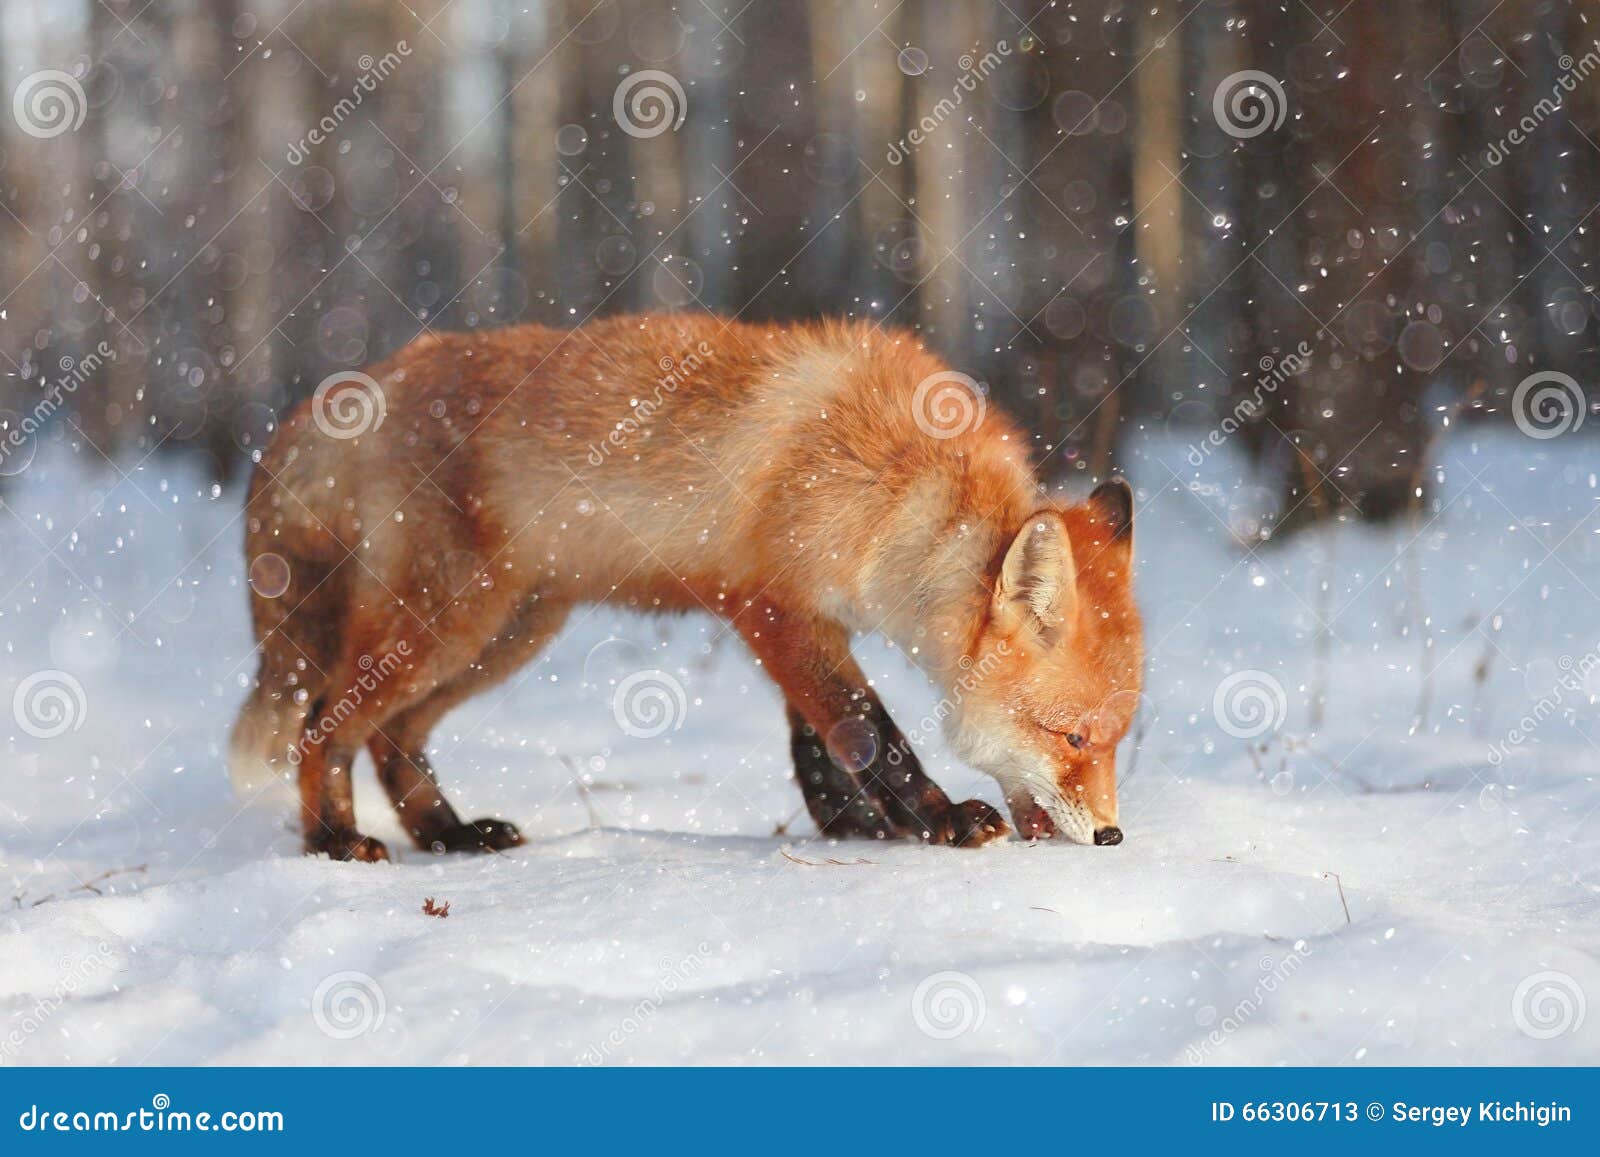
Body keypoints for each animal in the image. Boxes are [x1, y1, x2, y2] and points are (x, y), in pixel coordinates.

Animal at [229, 312, 1143, 861]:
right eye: (1071, 736)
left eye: (1117, 739)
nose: (1111, 835)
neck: (893, 486)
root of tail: (344, 395)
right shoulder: (771, 607)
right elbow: (864, 730)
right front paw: (936, 818)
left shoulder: (805, 620)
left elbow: (814, 741)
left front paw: (854, 826)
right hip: (449, 622)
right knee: (323, 724)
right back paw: (332, 842)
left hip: (507, 634)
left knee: (394, 737)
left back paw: (450, 833)